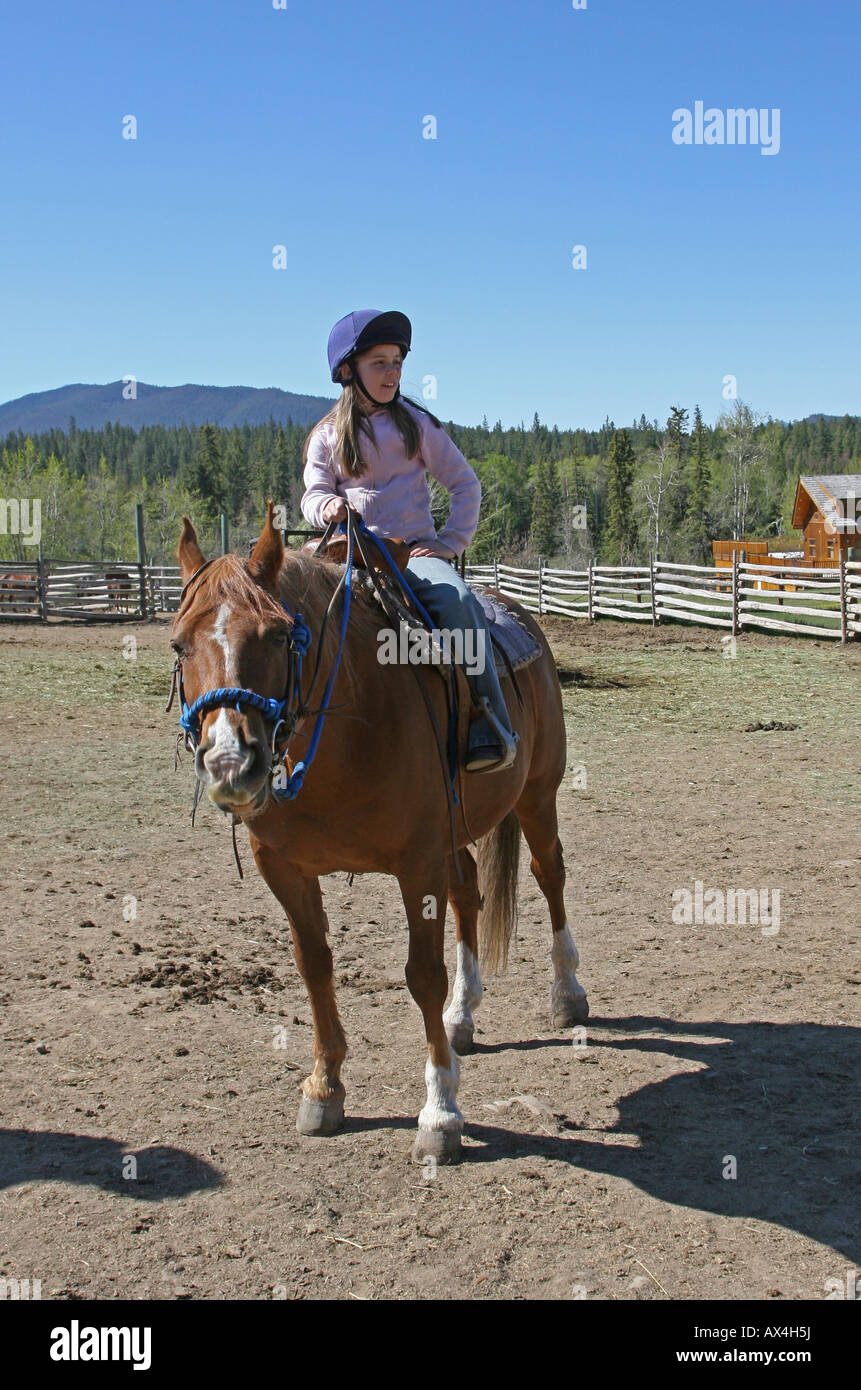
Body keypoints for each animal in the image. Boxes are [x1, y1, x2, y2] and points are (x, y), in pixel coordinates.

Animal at [169, 501, 588, 1164]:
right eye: (180, 644)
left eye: (279, 635)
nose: (232, 762)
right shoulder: (283, 868)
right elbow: (314, 965)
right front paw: (323, 1087)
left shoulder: (416, 863)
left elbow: (422, 976)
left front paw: (441, 1113)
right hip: (455, 833)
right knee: (468, 891)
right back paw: (462, 1016)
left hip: (536, 796)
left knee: (550, 877)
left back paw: (567, 994)